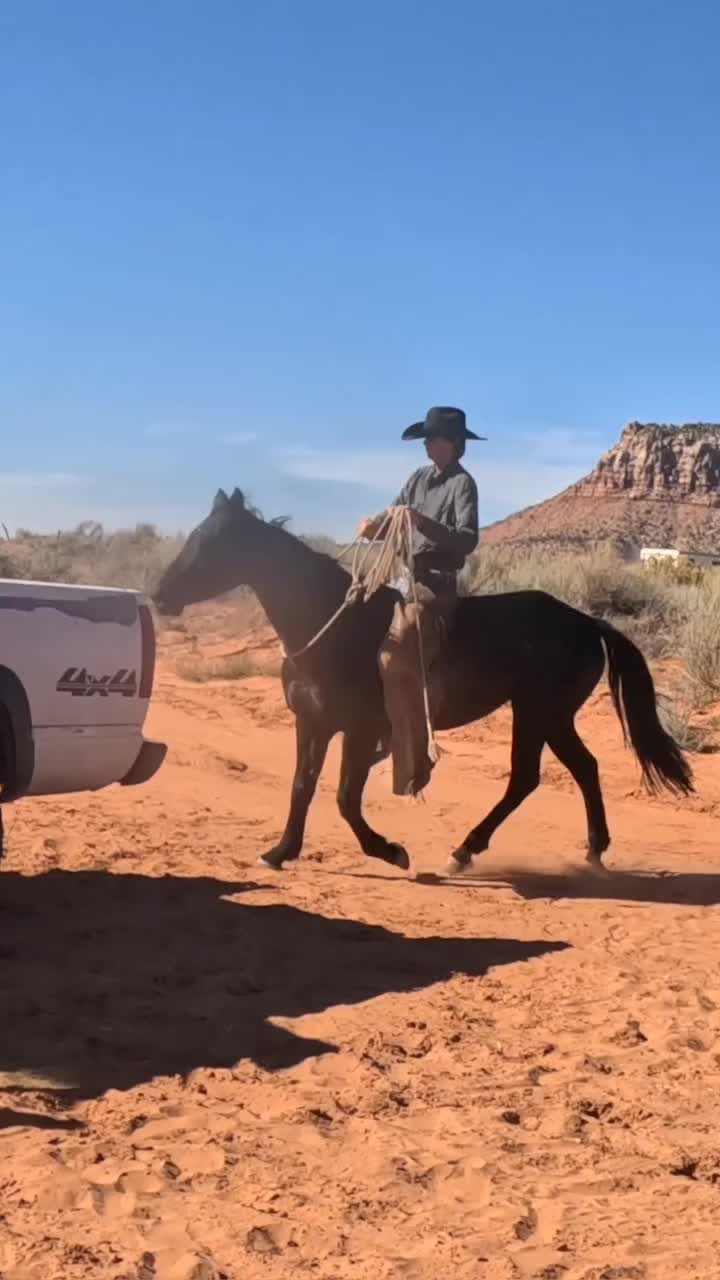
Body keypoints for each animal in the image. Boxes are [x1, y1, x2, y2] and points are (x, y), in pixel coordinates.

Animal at [152, 483, 691, 875]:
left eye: (215, 544)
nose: (159, 595)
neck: (333, 628)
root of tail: (588, 622)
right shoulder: (313, 723)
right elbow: (302, 785)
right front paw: (280, 852)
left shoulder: (362, 730)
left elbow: (345, 798)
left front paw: (391, 851)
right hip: (550, 716)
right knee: (580, 769)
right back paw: (591, 850)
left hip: (540, 712)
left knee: (528, 777)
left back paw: (465, 850)